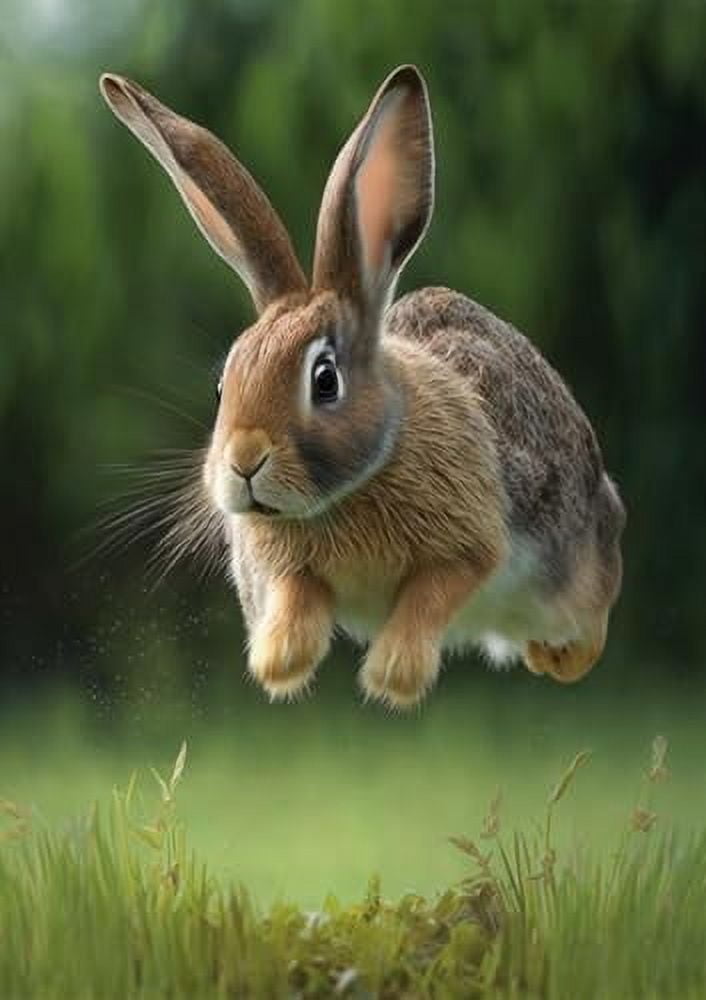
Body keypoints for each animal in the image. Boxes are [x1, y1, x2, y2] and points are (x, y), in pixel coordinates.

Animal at [100, 64, 625, 708]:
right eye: (223, 388)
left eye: (325, 380)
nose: (244, 461)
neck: (348, 490)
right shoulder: (288, 572)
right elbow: (298, 594)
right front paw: (281, 660)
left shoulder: (472, 541)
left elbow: (434, 590)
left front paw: (391, 674)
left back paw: (561, 656)